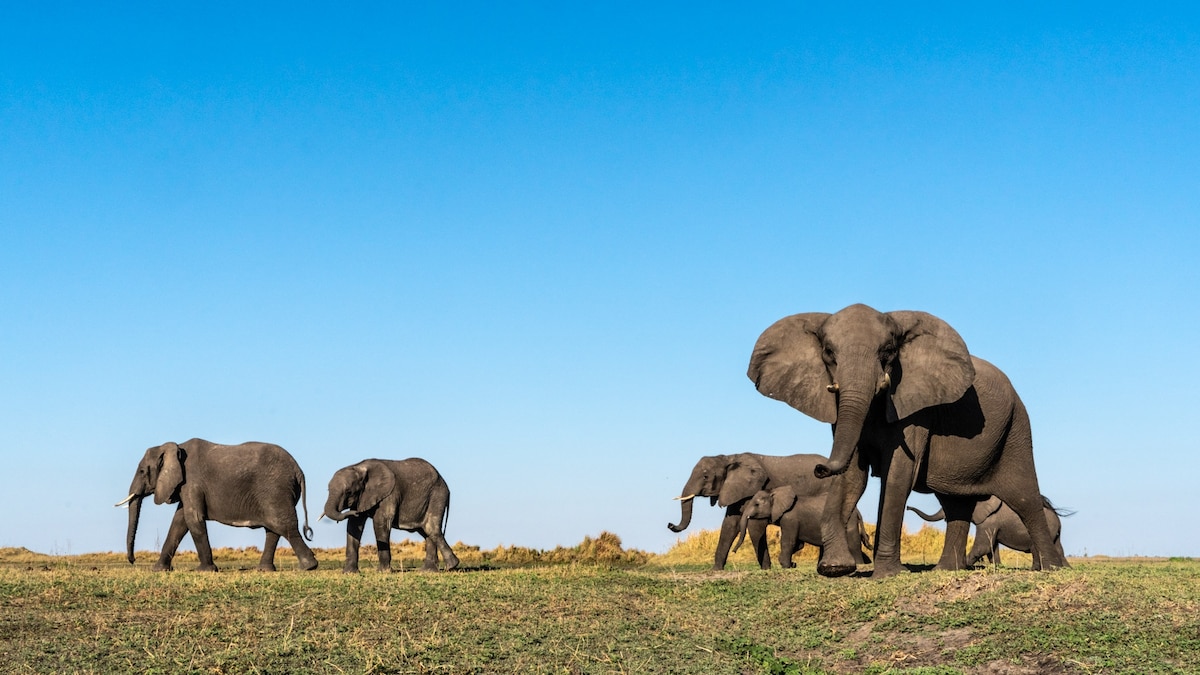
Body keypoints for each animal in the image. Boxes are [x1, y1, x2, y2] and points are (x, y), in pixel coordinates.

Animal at [116, 439, 318, 572]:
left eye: (142, 471)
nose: (132, 561)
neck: (175, 447)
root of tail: (298, 470)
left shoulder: (192, 481)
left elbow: (193, 519)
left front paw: (205, 570)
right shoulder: (185, 486)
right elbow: (179, 522)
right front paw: (159, 570)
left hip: (275, 490)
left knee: (283, 525)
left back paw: (309, 567)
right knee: (273, 529)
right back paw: (265, 570)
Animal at [323, 458, 460, 573]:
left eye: (348, 492)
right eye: (328, 490)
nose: (355, 512)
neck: (359, 466)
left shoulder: (389, 494)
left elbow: (380, 522)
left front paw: (383, 572)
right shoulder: (363, 497)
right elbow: (354, 525)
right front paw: (349, 573)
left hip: (437, 495)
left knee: (431, 527)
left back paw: (450, 566)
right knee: (426, 530)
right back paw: (428, 571)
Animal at [731, 486, 872, 568]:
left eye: (756, 504)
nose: (733, 551)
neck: (775, 492)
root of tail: (857, 511)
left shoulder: (790, 518)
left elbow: (789, 541)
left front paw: (786, 565)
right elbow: (798, 544)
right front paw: (791, 564)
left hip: (850, 522)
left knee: (853, 543)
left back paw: (860, 565)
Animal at [908, 495, 1070, 567]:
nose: (908, 507)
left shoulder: (990, 520)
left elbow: (983, 546)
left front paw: (966, 566)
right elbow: (992, 547)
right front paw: (997, 567)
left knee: (1037, 548)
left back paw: (1035, 570)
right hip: (1055, 532)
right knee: (1058, 548)